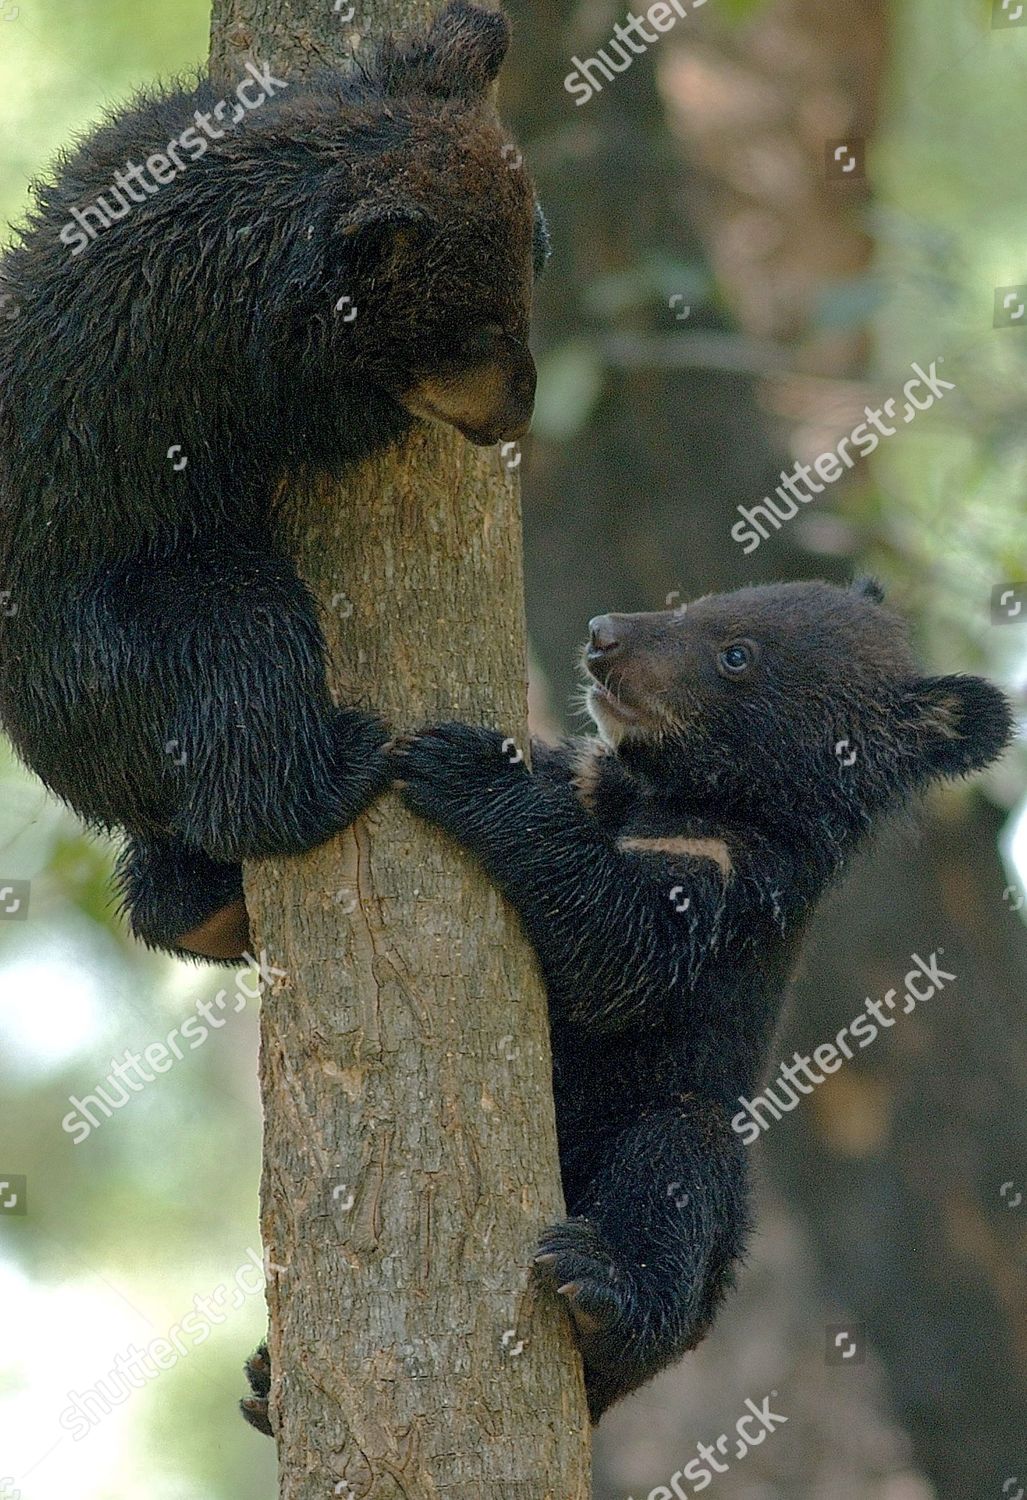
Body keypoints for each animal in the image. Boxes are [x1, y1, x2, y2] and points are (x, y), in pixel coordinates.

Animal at [0, 2, 546, 963]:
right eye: (470, 329)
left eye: (528, 273)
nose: (514, 413)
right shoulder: (217, 369)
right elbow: (329, 420)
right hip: (110, 622)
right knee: (244, 649)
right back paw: (339, 768)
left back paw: (201, 906)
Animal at [378, 578, 1012, 1423]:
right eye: (697, 603)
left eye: (735, 655)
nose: (603, 634)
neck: (685, 799)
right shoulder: (589, 777)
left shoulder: (732, 886)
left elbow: (620, 949)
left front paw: (463, 765)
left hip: (686, 1174)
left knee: (677, 1162)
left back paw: (603, 1291)